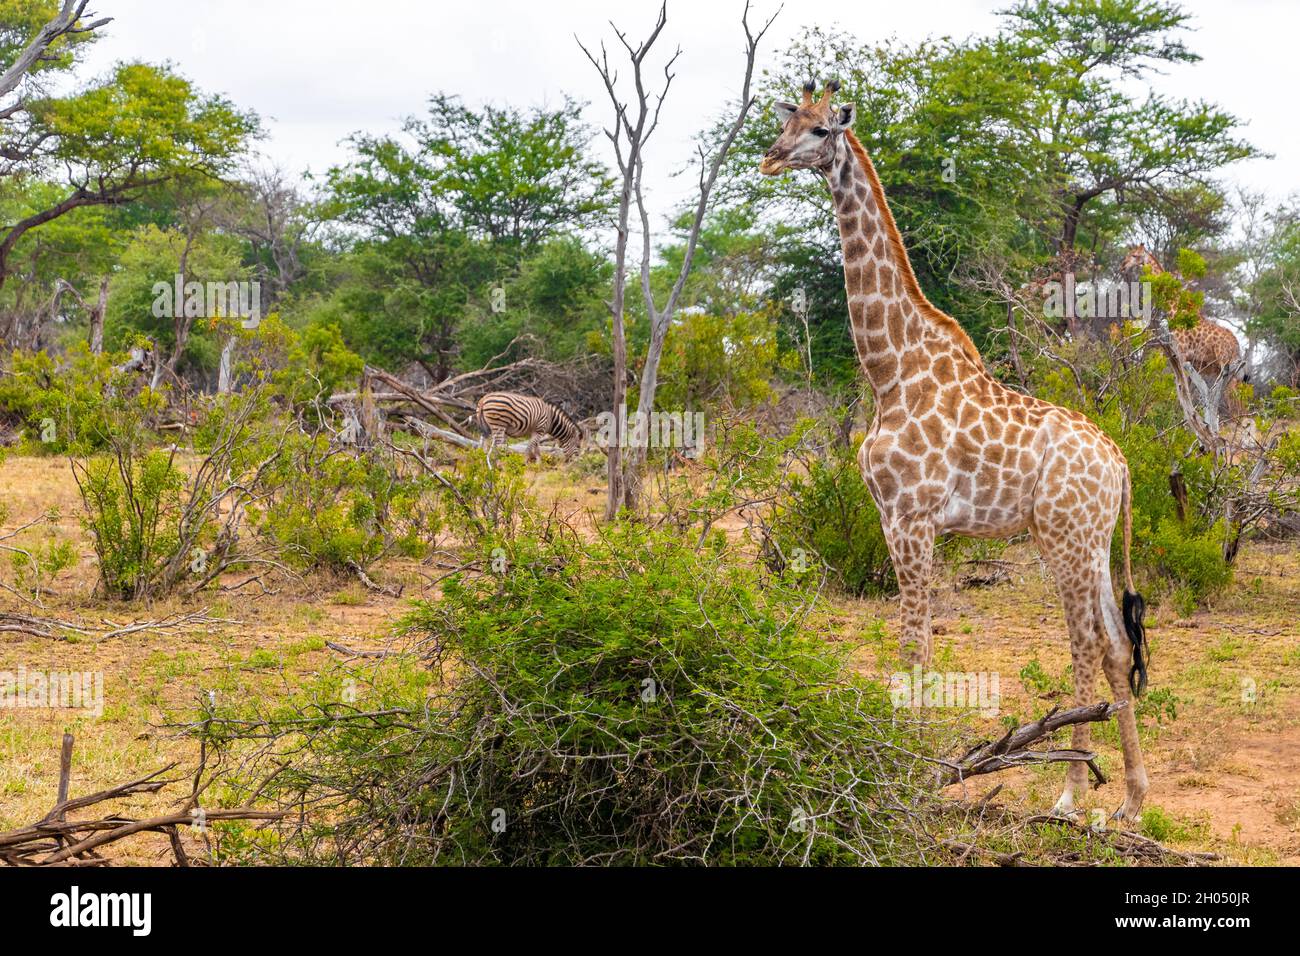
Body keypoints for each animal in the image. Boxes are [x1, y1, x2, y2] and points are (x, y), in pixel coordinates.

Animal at [761, 80, 1150, 821]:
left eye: (823, 130)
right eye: (789, 122)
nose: (769, 159)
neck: (889, 368)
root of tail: (1119, 463)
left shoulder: (910, 516)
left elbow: (914, 640)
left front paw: (910, 770)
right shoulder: (901, 519)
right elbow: (915, 638)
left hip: (1064, 537)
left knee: (1086, 641)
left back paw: (1068, 795)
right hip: (1092, 540)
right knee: (1118, 645)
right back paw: (1132, 801)